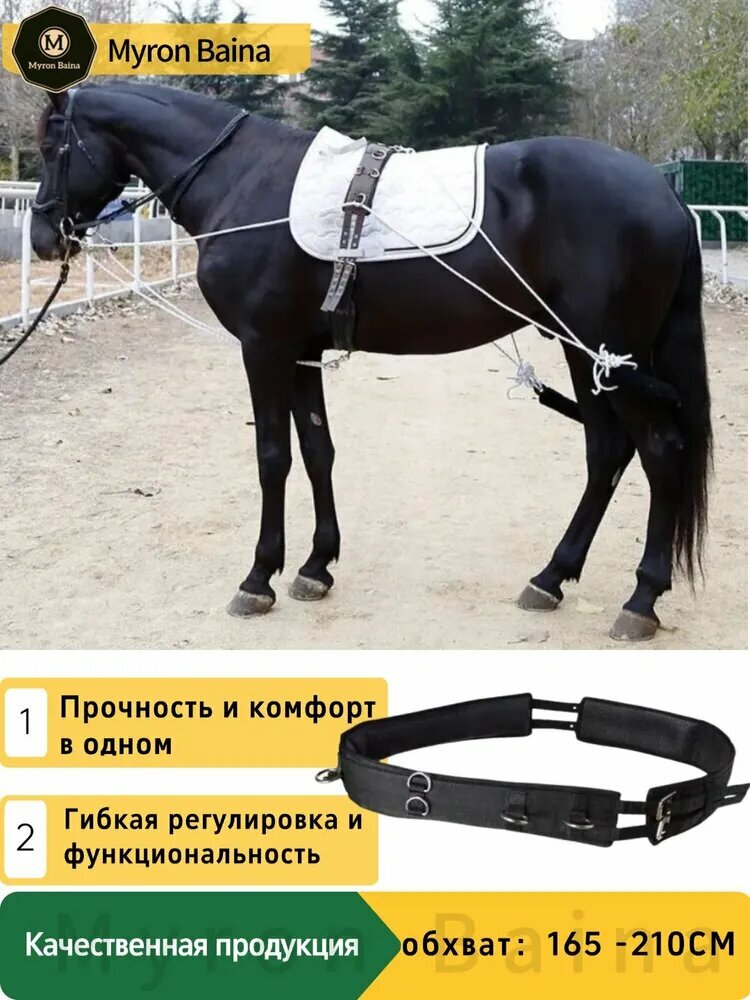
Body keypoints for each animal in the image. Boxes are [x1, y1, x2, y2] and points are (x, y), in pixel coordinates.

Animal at [30, 82, 711, 642]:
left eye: (49, 143)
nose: (42, 238)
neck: (245, 179)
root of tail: (667, 195)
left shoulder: (264, 347)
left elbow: (272, 457)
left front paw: (259, 577)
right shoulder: (302, 353)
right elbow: (316, 450)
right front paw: (315, 566)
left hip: (610, 355)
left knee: (659, 451)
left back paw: (641, 599)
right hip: (584, 353)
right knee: (608, 453)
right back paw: (551, 577)